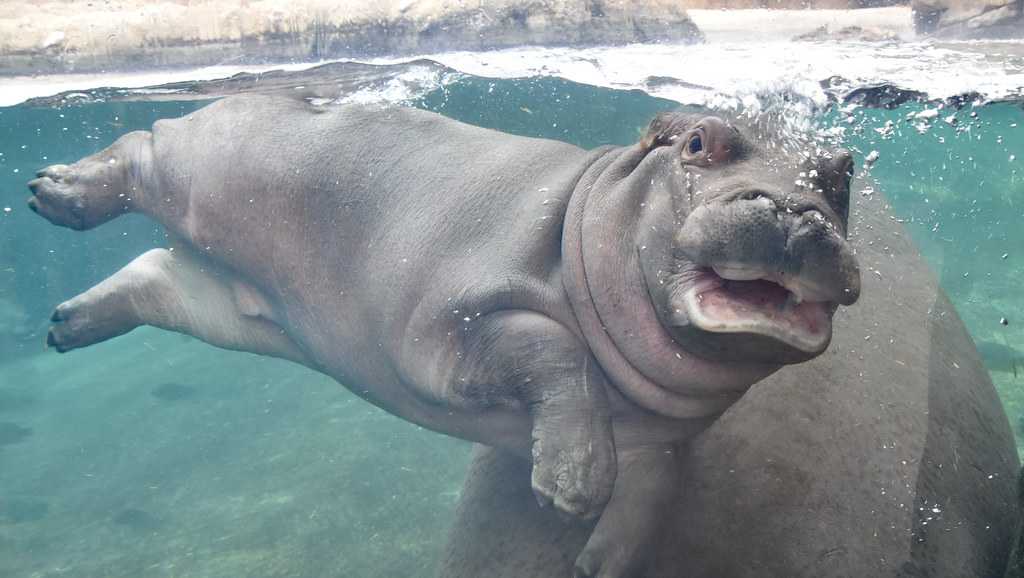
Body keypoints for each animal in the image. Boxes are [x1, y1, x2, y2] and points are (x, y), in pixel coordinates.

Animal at [27, 94, 862, 577]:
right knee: (140, 144)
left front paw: (593, 558)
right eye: (697, 144)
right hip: (198, 161)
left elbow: (648, 502)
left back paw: (66, 326)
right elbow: (553, 351)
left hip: (236, 308)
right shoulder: (457, 326)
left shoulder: (662, 439)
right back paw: (56, 195)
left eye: (841, 173)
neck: (593, 209)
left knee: (152, 274)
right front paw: (572, 486)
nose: (793, 212)